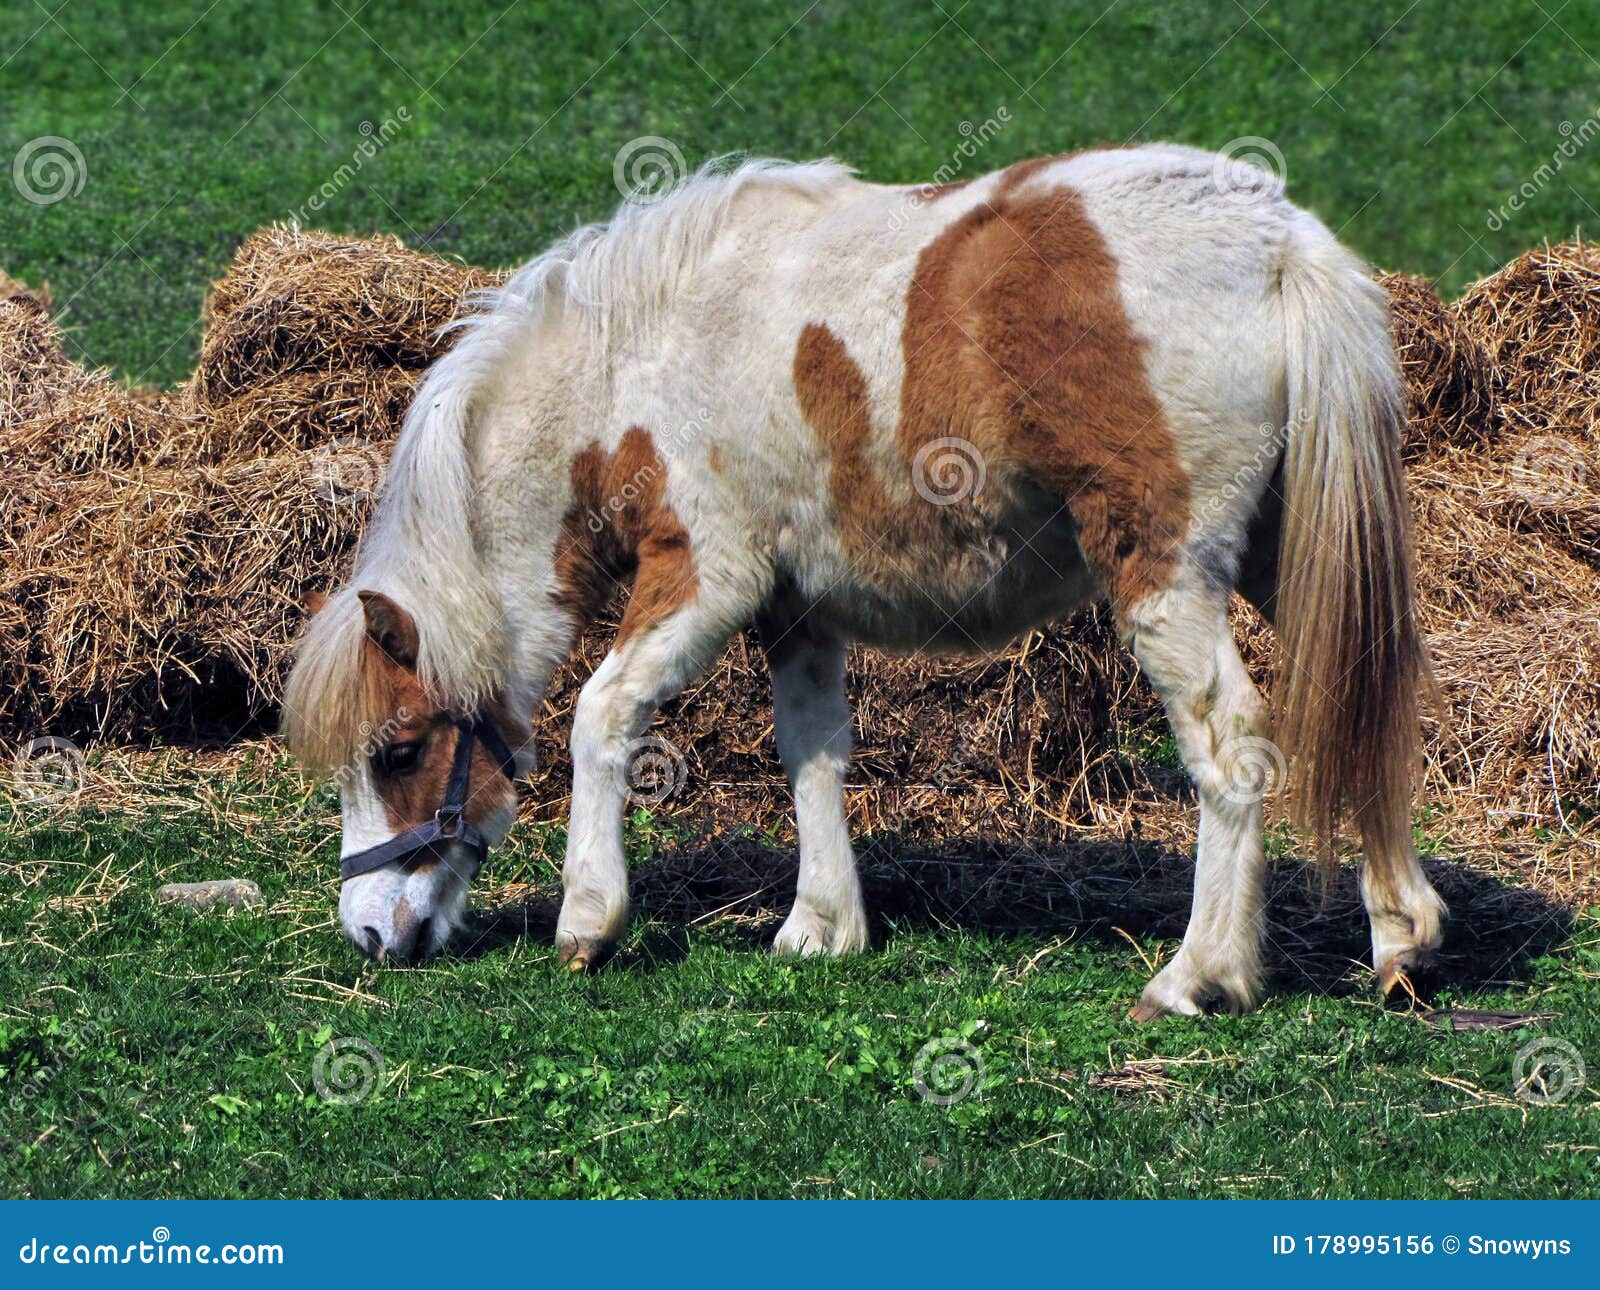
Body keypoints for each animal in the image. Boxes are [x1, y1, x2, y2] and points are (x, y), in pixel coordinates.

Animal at [283, 144, 1446, 1019]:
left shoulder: (707, 577)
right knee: (1372, 707)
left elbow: (601, 717)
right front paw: (822, 925)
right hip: (1291, 560)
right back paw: (1399, 937)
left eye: (397, 751)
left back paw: (1198, 976)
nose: (368, 933)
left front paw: (589, 921)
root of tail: (1279, 240)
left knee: (1233, 747)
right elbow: (812, 752)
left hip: (1168, 576)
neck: (639, 355)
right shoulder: (794, 607)